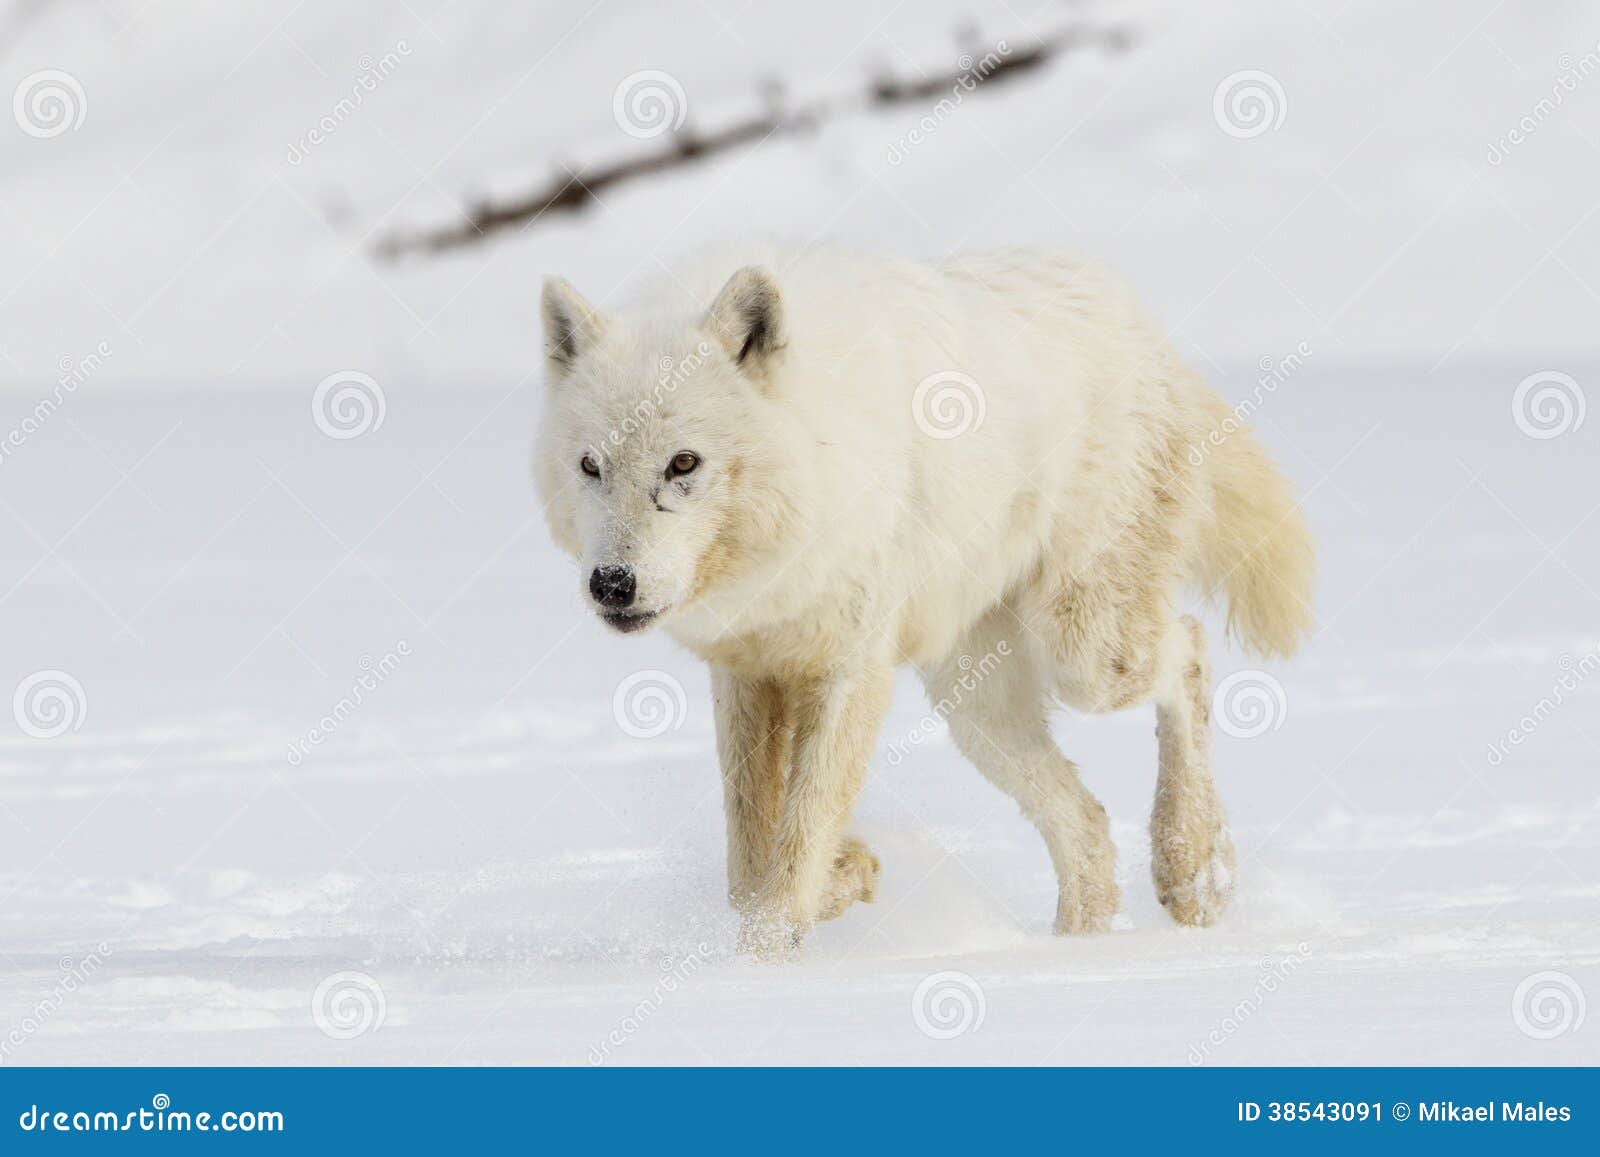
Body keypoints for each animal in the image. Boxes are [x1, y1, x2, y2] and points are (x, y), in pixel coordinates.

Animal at [535, 246, 1314, 956]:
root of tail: (1137, 318)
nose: (612, 583)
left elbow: (798, 839)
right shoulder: (747, 672)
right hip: (974, 707)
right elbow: (749, 853)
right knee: (1087, 821)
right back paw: (1073, 950)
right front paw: (844, 874)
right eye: (591, 466)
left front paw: (775, 945)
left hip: (1084, 655)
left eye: (683, 463)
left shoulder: (851, 671)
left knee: (1188, 646)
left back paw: (1193, 872)